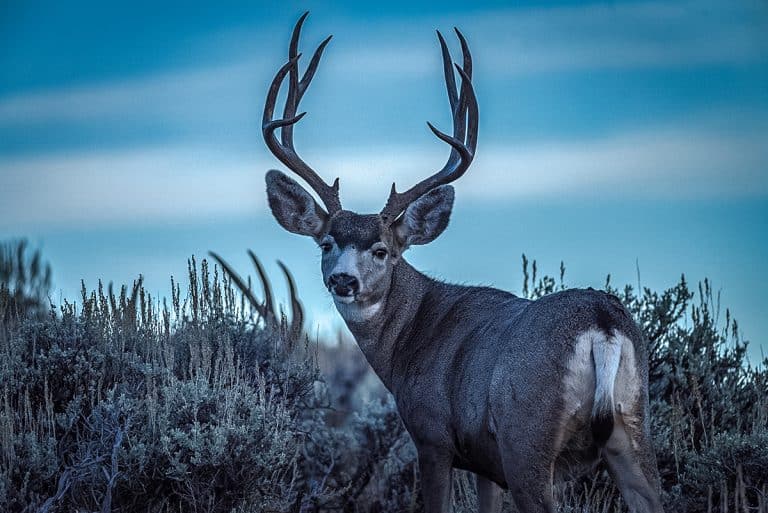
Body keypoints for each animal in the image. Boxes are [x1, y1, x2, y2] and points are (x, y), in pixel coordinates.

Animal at [261, 13, 664, 513]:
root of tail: (602, 323)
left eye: (382, 250)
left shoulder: (432, 436)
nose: (343, 280)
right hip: (632, 428)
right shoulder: (483, 462)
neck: (412, 338)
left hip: (526, 440)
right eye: (326, 244)